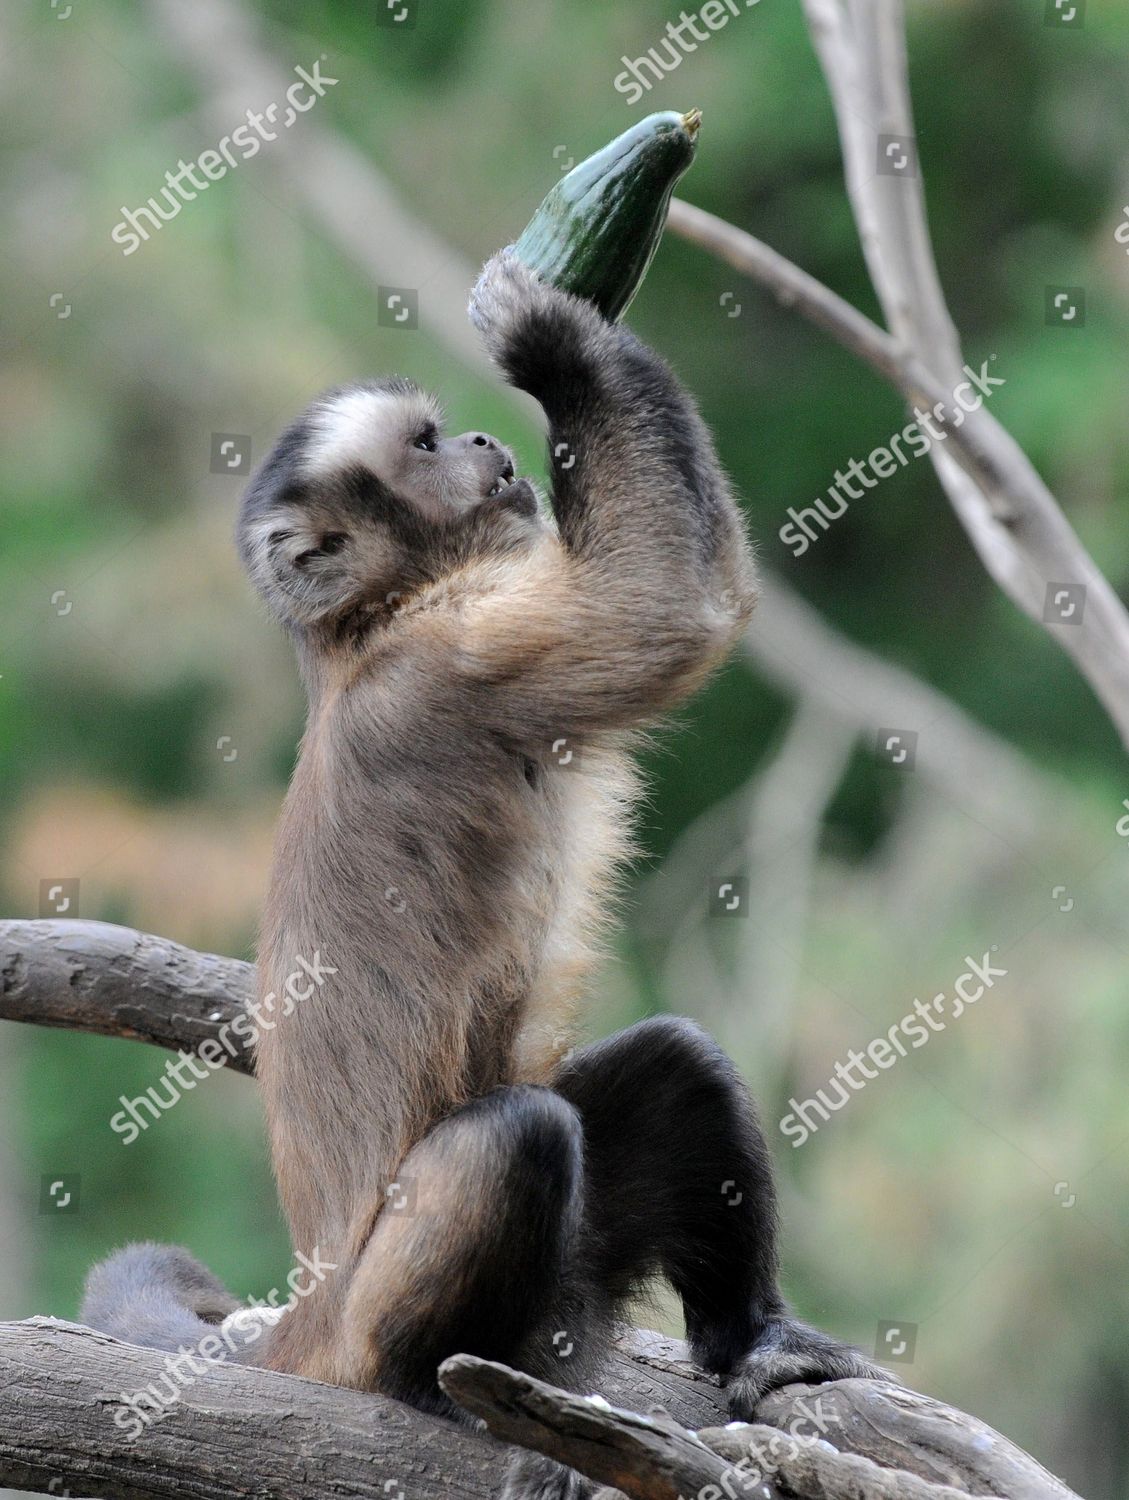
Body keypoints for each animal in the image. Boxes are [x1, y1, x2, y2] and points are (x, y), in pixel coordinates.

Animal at [82, 250, 888, 1498]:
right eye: (420, 445)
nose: (478, 439)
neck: (373, 628)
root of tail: (310, 1325)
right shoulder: (451, 665)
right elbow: (669, 614)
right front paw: (556, 341)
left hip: (563, 1297)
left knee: (676, 1067)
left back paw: (749, 1341)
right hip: (375, 1320)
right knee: (520, 1134)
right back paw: (430, 1393)